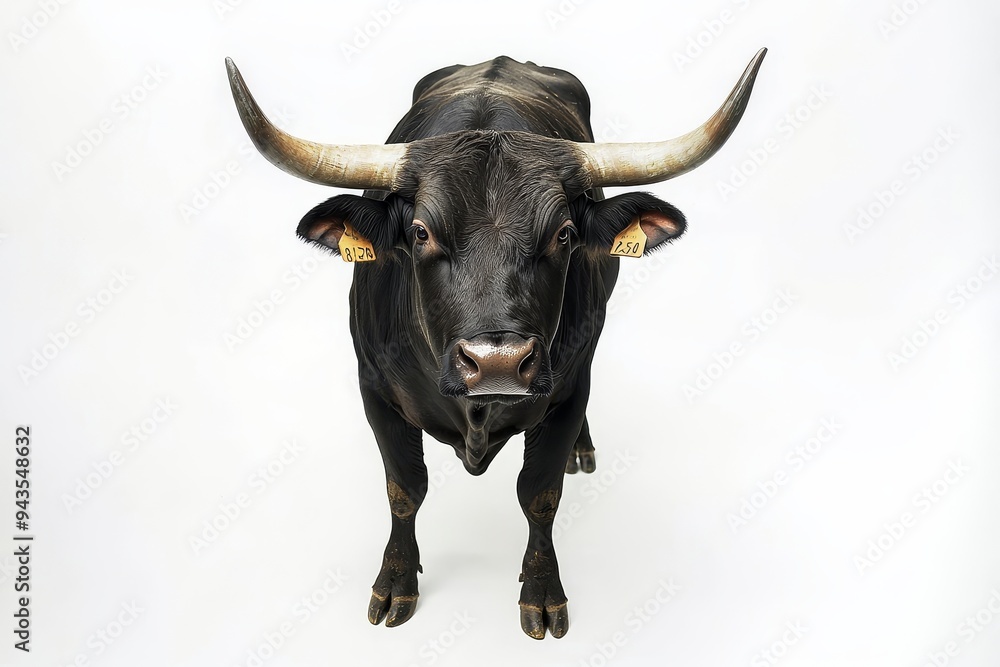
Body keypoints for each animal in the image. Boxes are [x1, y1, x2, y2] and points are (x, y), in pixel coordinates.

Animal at [225, 49, 766, 639]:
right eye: (421, 232)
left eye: (564, 234)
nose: (498, 363)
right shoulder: (374, 388)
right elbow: (404, 489)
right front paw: (395, 583)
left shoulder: (567, 389)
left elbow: (540, 494)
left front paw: (543, 594)